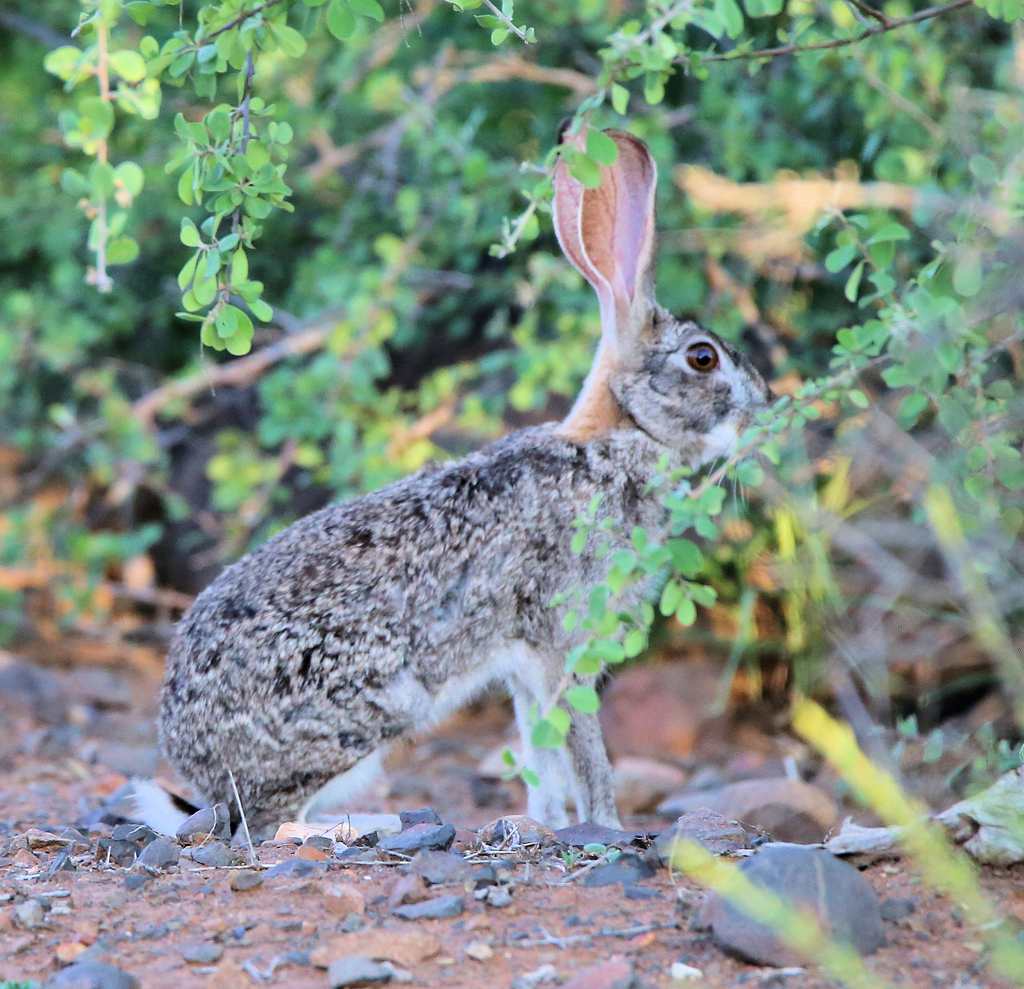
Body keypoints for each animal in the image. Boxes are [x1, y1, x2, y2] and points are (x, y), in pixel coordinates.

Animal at [156, 129, 773, 834]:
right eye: (703, 358)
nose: (766, 405)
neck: (619, 437)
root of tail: (196, 765)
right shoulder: (563, 642)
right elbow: (585, 748)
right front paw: (606, 825)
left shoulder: (525, 666)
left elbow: (542, 751)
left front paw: (550, 823)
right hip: (366, 710)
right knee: (274, 824)